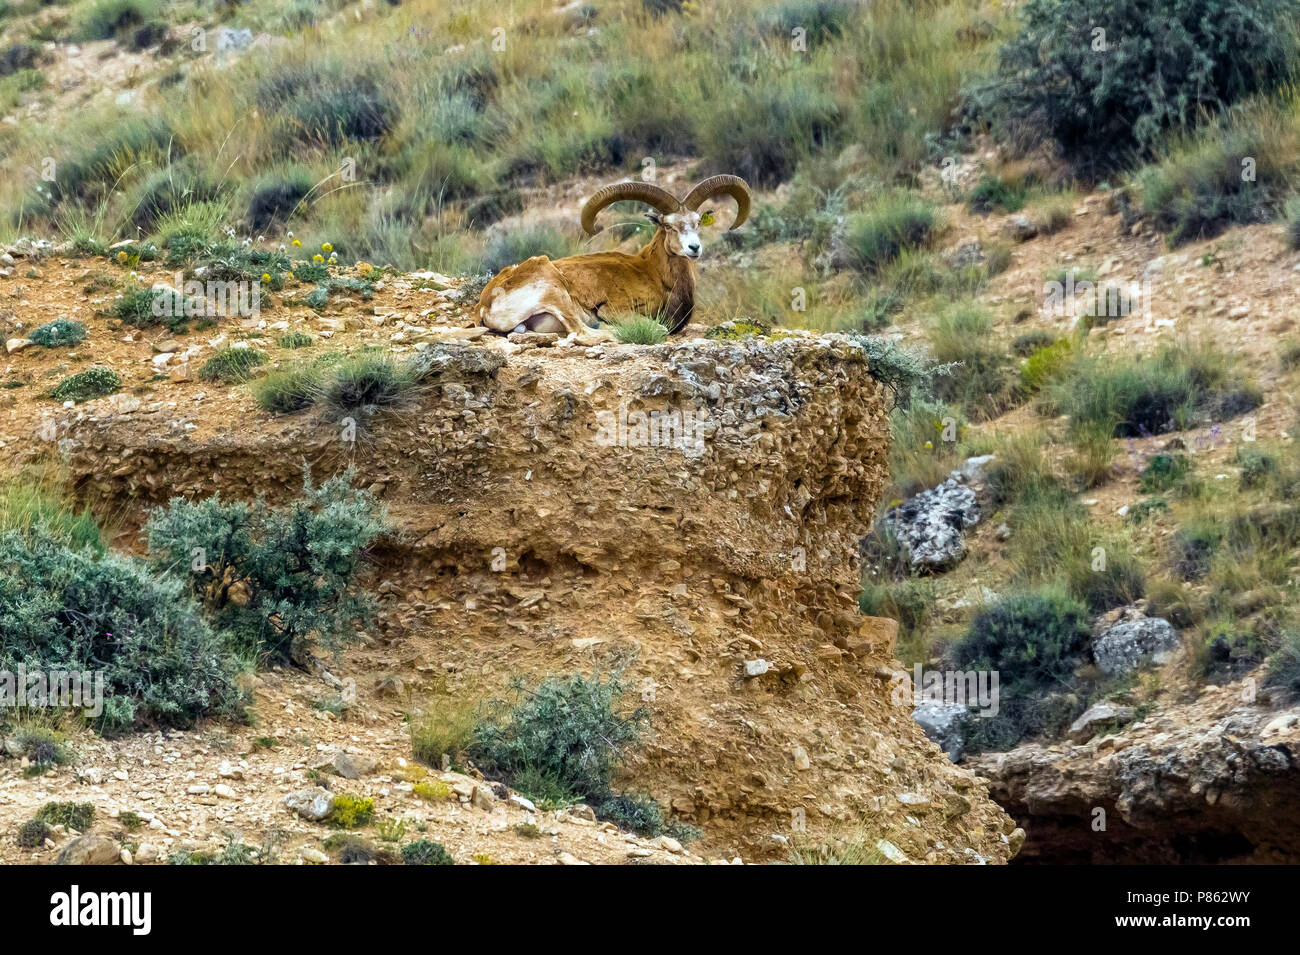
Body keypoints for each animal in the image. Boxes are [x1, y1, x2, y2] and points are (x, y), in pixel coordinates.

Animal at [475, 175, 751, 341]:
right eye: (668, 225)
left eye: (697, 223)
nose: (694, 248)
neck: (653, 273)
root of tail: (486, 304)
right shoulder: (616, 308)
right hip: (554, 292)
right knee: (582, 333)